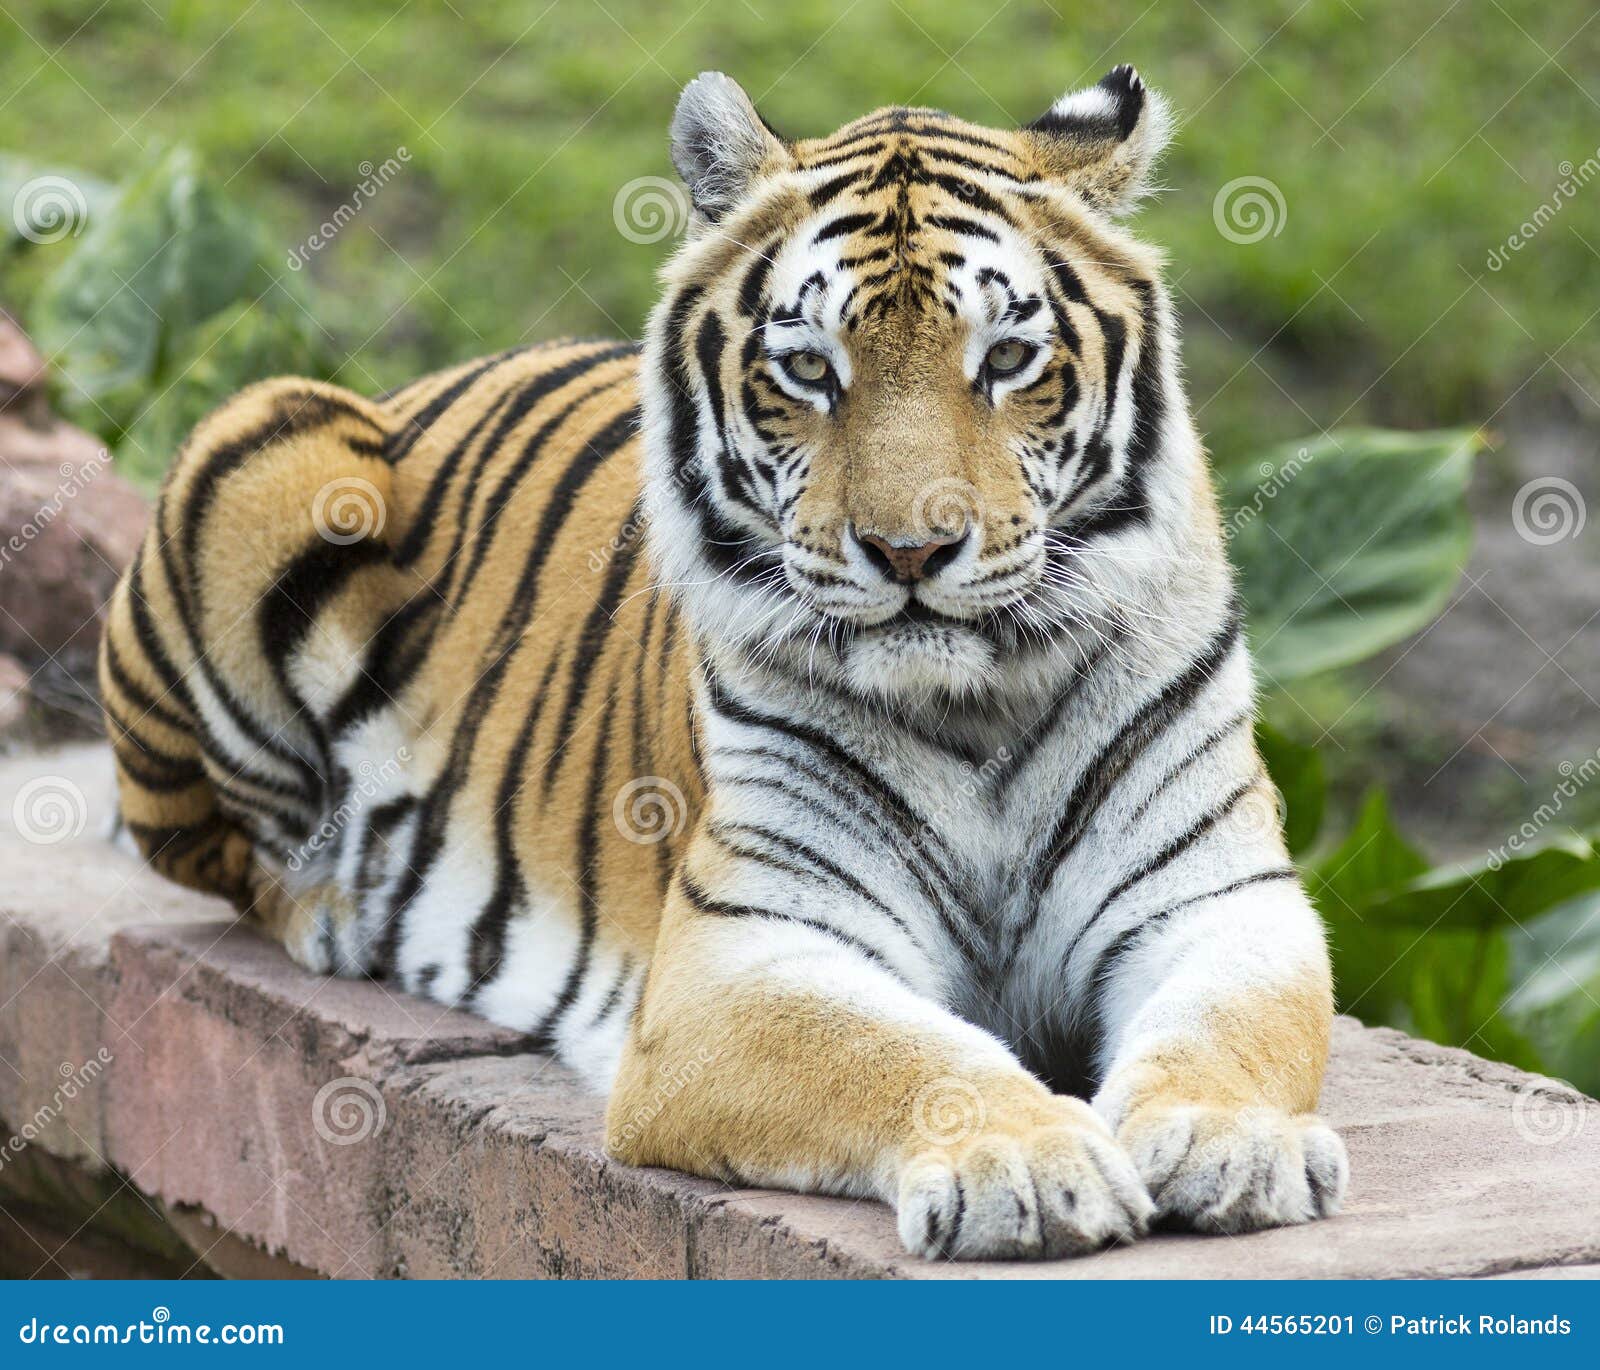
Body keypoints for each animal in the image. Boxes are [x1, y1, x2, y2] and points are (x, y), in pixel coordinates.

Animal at [99, 66, 1348, 1261]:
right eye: (809, 369)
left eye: (1004, 358)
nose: (911, 550)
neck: (975, 701)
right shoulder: (744, 951)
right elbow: (902, 1053)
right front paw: (1027, 1164)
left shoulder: (1217, 894)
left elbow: (1231, 1027)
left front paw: (1234, 1143)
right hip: (271, 439)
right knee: (223, 852)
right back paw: (333, 909)